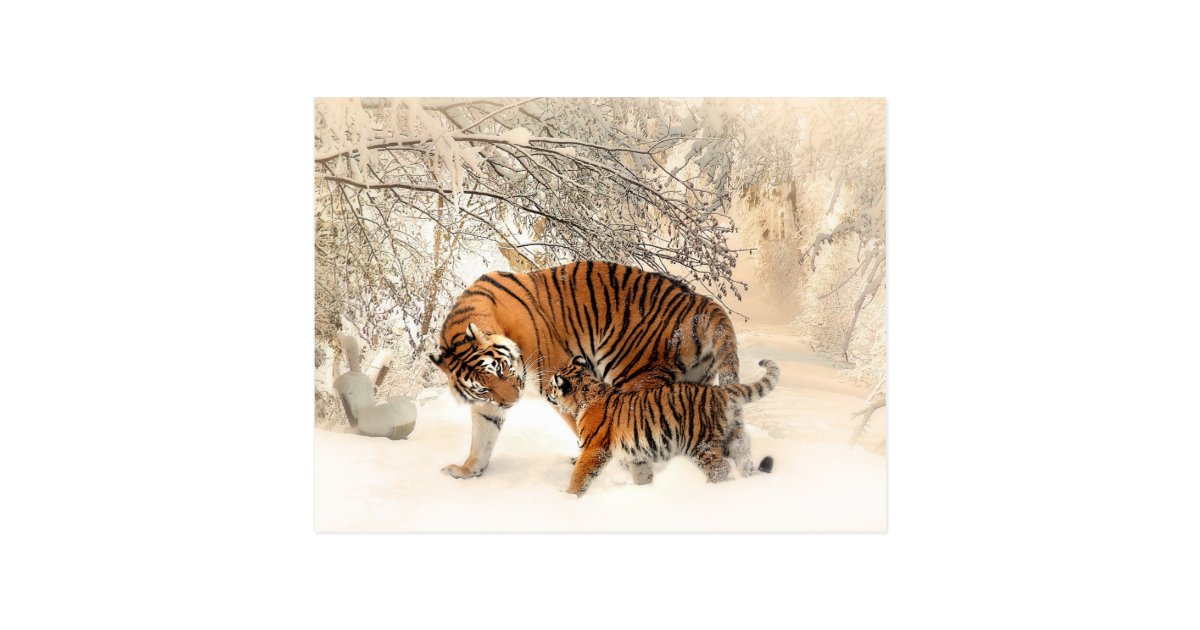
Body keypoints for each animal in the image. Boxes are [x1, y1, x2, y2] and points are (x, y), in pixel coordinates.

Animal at [428, 261, 741, 480]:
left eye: (503, 369)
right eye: (483, 387)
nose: (512, 402)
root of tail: (700, 301)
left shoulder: (557, 377)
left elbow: (581, 425)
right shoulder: (487, 404)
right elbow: (482, 437)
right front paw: (467, 471)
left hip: (634, 375)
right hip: (695, 381)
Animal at [546, 356, 778, 496]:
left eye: (551, 385)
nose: (546, 392)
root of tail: (720, 391)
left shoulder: (594, 448)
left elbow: (580, 474)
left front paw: (568, 497)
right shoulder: (637, 455)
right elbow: (642, 475)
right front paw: (645, 491)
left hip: (699, 444)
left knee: (721, 468)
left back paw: (707, 490)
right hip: (735, 438)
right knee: (744, 461)